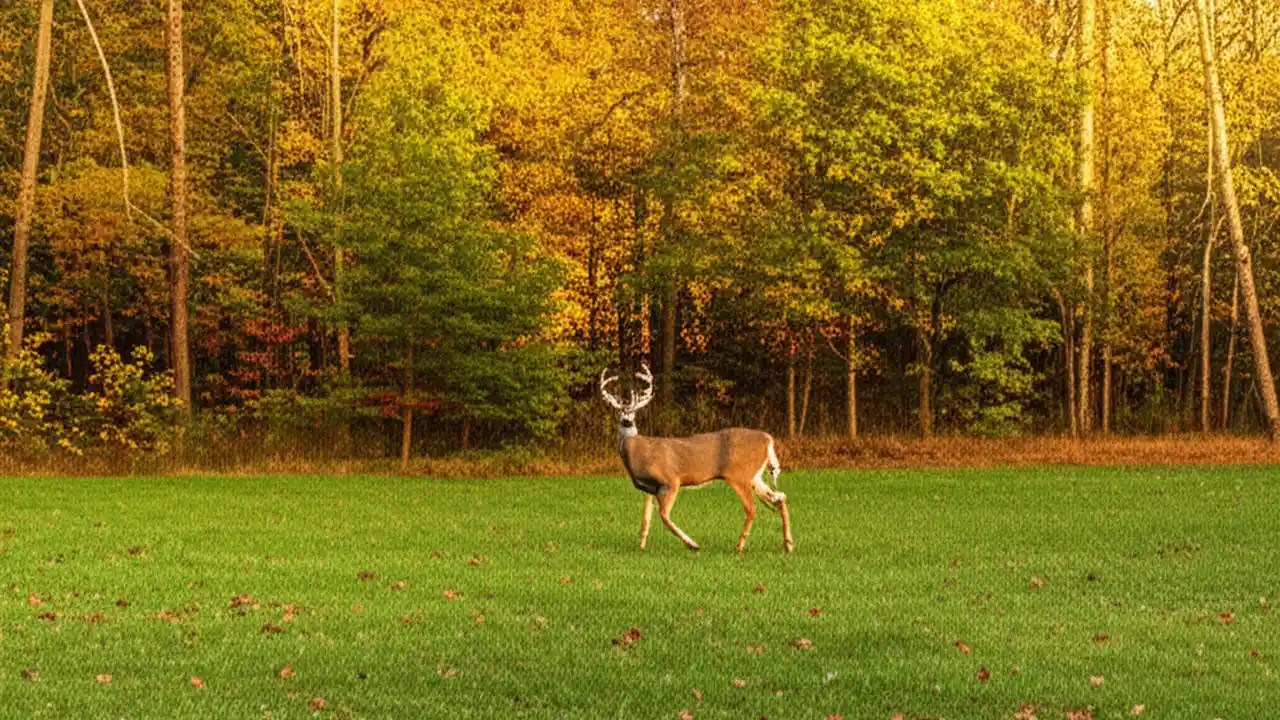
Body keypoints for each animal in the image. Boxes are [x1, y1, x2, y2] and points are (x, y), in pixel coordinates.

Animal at [600, 363, 794, 553]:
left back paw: (739, 546)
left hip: (739, 475)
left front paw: (693, 544)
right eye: (618, 412)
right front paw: (641, 546)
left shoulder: (671, 479)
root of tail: (768, 439)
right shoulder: (650, 489)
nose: (627, 421)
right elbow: (646, 518)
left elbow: (664, 516)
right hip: (754, 476)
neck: (636, 451)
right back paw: (788, 545)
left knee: (752, 508)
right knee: (781, 497)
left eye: (635, 412)